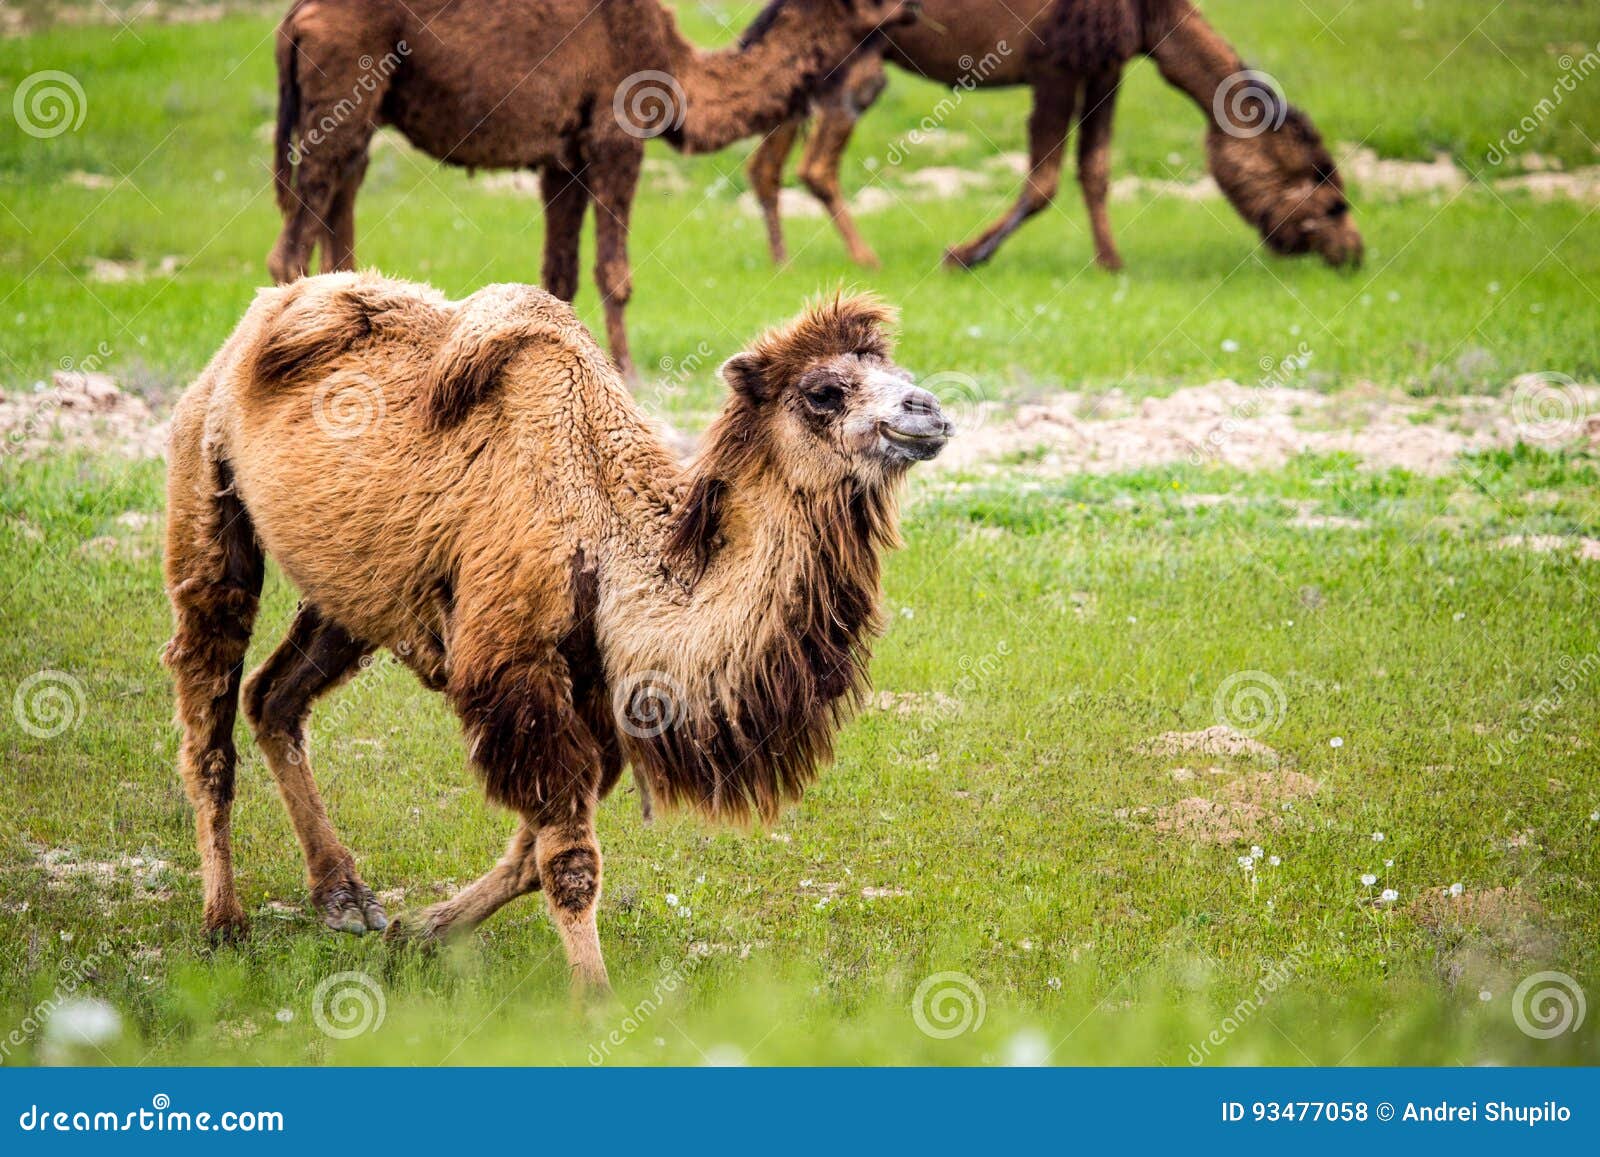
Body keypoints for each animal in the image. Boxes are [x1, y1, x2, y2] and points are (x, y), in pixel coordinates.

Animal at [162, 272, 950, 991]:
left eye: (902, 376)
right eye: (823, 392)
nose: (930, 410)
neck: (610, 542)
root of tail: (261, 313)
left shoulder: (601, 691)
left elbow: (531, 854)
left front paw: (420, 932)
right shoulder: (518, 668)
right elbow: (567, 860)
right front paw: (593, 1000)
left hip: (353, 590)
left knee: (273, 698)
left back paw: (344, 897)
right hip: (207, 486)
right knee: (210, 707)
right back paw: (224, 923)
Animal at [267, 0, 920, 377]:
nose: (914, 7)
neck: (680, 68)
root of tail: (294, 21)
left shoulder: (565, 158)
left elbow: (559, 277)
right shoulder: (616, 136)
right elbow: (614, 272)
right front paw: (625, 370)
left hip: (362, 105)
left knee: (340, 195)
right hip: (344, 86)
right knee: (294, 235)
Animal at [746, 0, 1363, 272]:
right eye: (1331, 198)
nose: (1353, 252)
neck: (1156, 17)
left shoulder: (1106, 65)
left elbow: (1096, 169)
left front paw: (1111, 262)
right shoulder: (1056, 64)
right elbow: (1042, 182)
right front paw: (964, 255)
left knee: (767, 158)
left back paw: (782, 258)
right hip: (852, 55)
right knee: (813, 163)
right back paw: (863, 258)